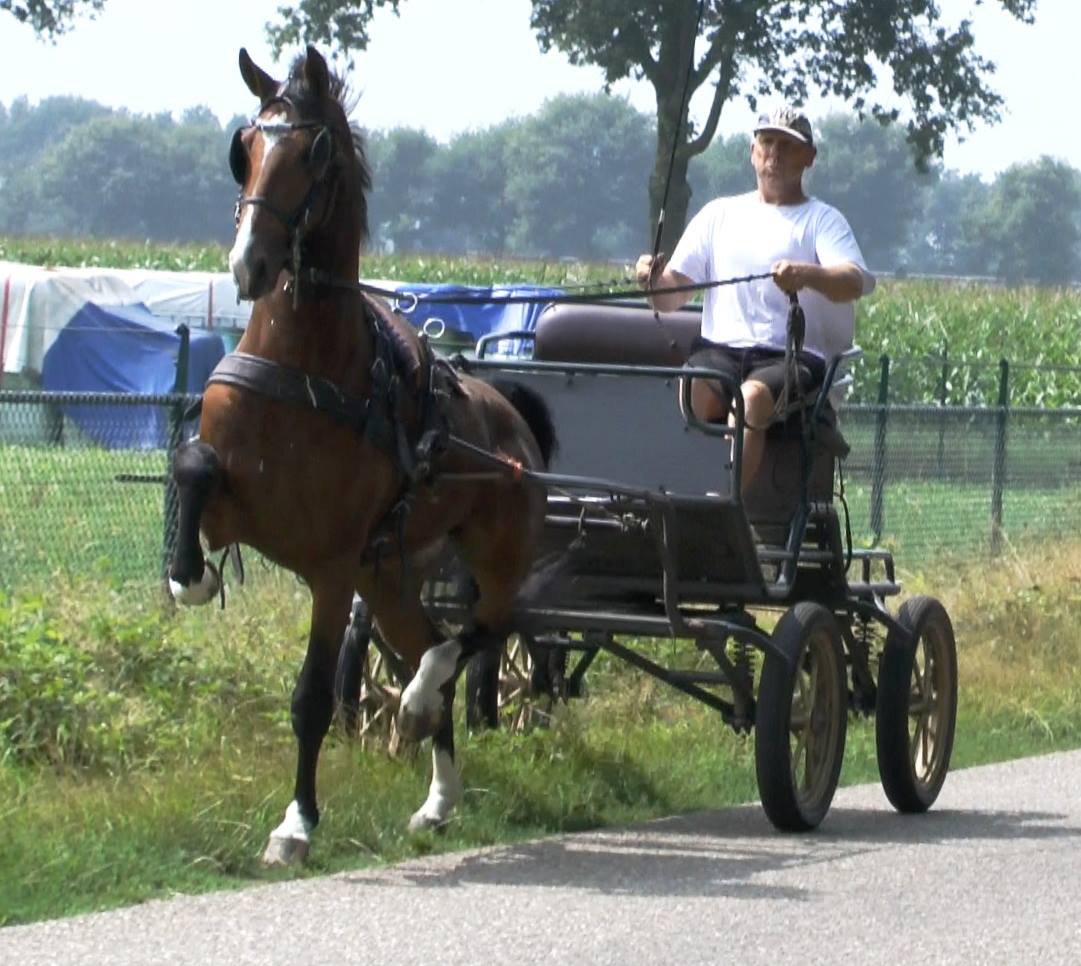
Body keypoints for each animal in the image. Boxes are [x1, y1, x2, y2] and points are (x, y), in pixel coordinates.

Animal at [166, 44, 556, 865]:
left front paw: (295, 824)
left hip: (489, 554)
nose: (247, 266)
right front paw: (192, 577)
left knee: (480, 633)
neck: (306, 363)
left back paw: (416, 700)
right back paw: (436, 797)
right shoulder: (236, 510)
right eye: (244, 147)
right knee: (431, 644)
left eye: (312, 154)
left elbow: (312, 697)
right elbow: (193, 471)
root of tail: (512, 411)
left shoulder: (330, 565)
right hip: (386, 577)